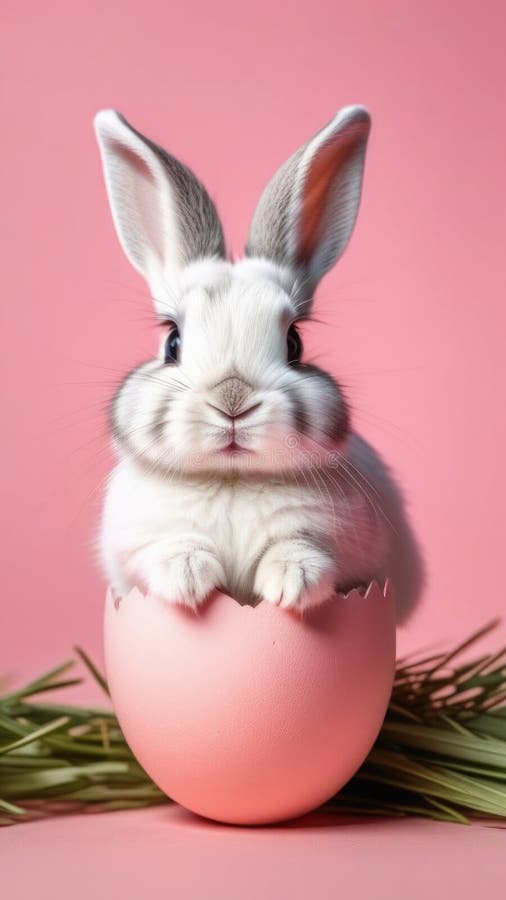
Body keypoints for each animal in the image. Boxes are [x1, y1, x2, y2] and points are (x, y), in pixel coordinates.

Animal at [94, 105, 423, 622]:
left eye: (295, 343)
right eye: (172, 342)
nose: (233, 401)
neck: (233, 479)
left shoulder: (342, 543)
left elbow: (303, 548)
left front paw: (290, 585)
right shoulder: (134, 547)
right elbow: (167, 548)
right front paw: (189, 578)